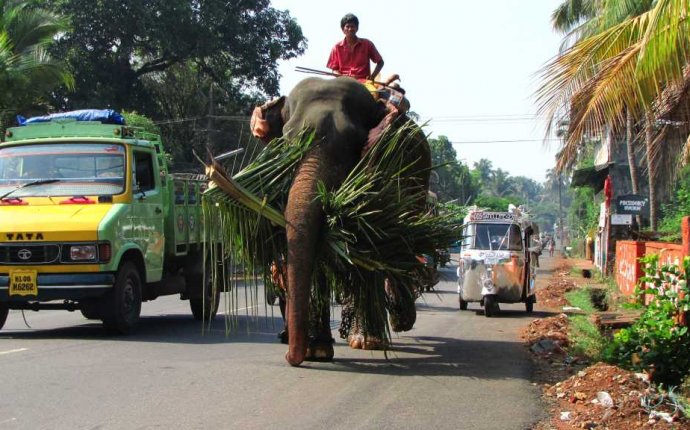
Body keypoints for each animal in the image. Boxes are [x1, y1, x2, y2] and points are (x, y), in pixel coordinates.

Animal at [250, 76, 428, 366]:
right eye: (287, 142)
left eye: (353, 141)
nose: (290, 356)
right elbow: (319, 252)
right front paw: (318, 351)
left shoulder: (385, 169)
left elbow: (369, 241)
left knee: (392, 249)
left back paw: (375, 335)